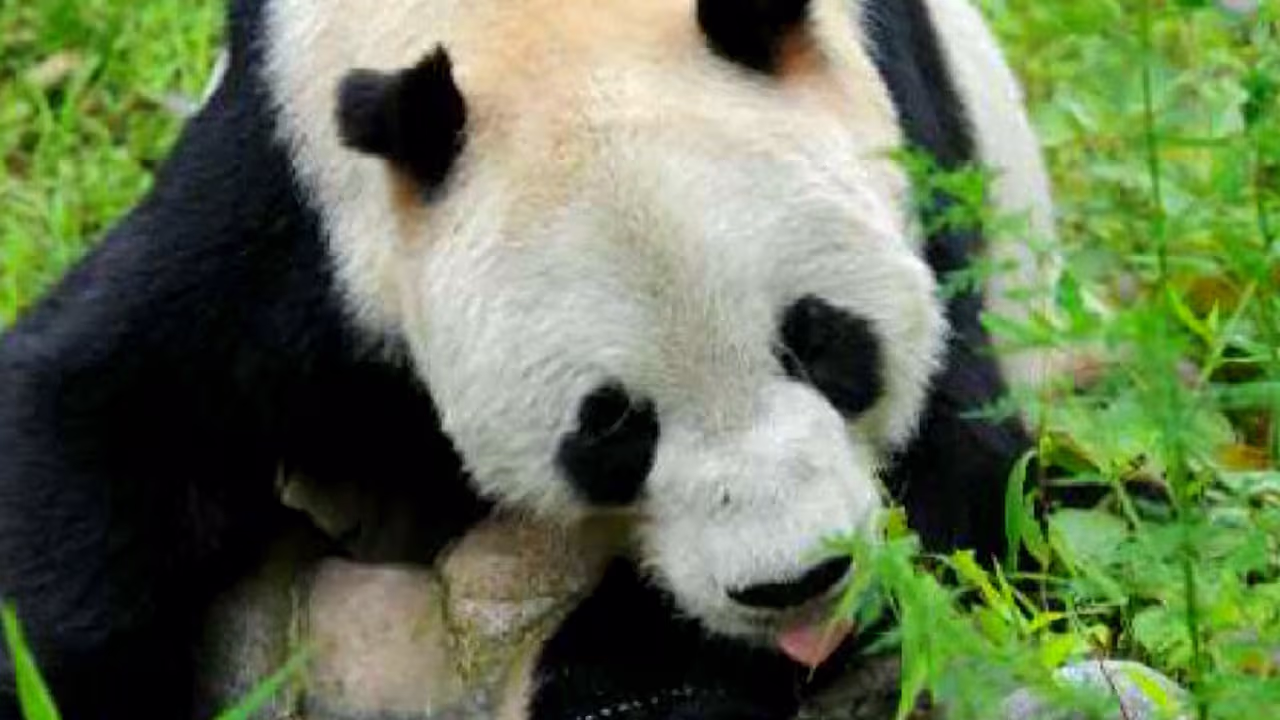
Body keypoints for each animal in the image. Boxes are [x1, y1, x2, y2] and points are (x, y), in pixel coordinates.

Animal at [0, 0, 1059, 718]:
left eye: (823, 341)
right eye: (613, 425)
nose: (794, 581)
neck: (548, 23)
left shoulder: (914, 145)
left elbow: (963, 474)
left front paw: (629, 673)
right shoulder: (300, 194)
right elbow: (94, 408)